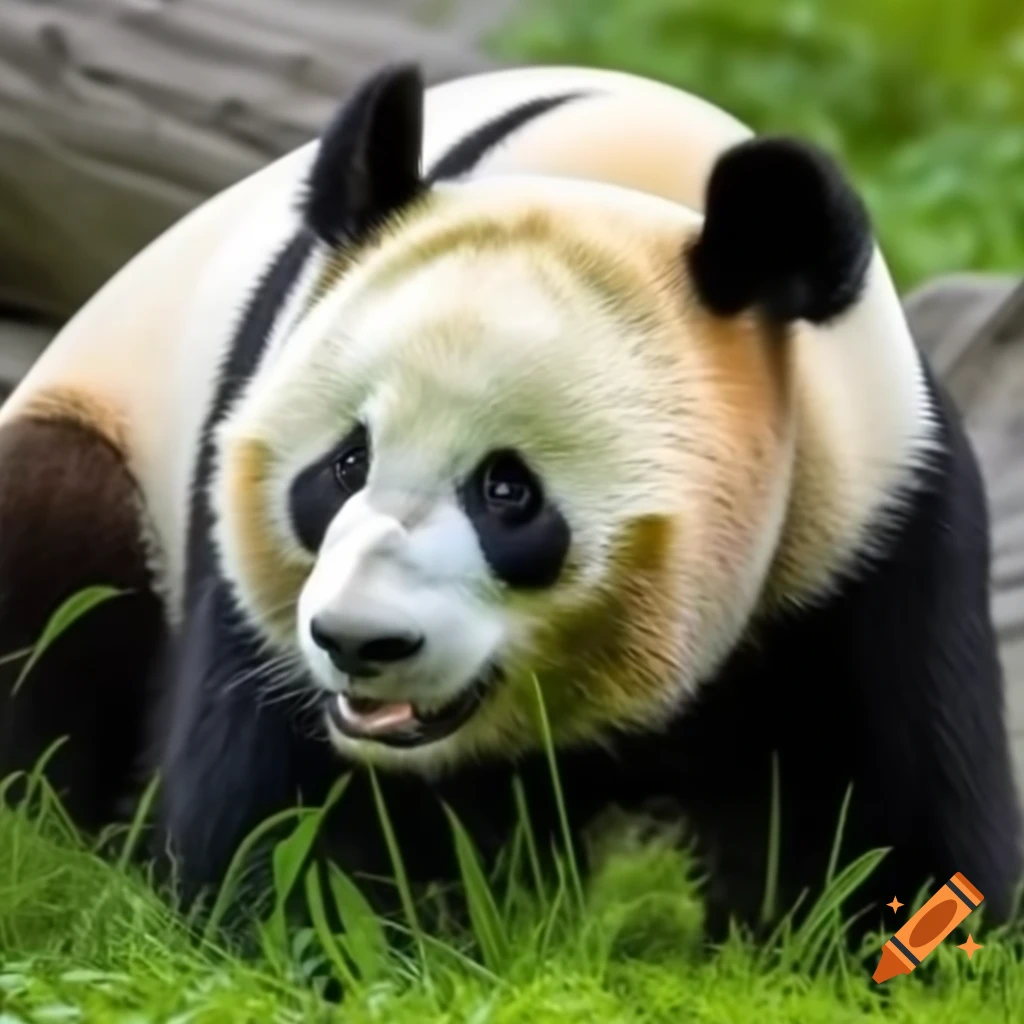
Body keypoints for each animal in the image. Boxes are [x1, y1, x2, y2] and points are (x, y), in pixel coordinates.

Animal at [0, 61, 1020, 945]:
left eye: (508, 492)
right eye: (344, 464)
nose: (361, 643)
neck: (617, 181)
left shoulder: (864, 525)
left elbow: (880, 805)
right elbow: (282, 810)